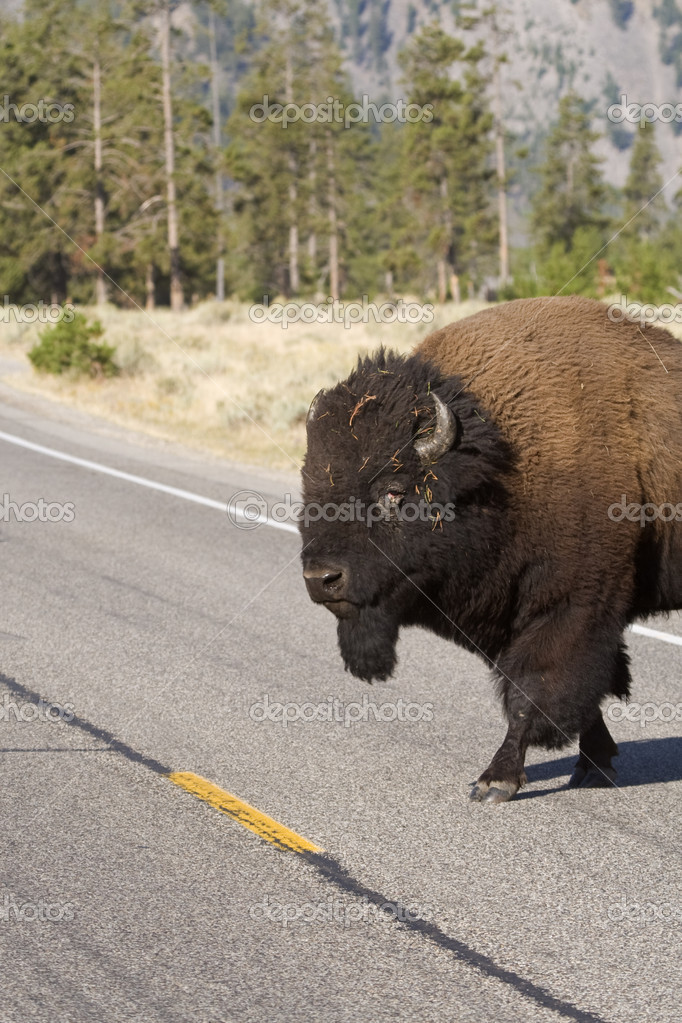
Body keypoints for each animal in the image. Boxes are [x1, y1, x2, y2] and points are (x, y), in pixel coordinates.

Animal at [299, 295, 682, 803]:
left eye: (394, 491)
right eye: (311, 489)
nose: (322, 579)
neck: (504, 464)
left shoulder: (571, 610)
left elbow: (533, 692)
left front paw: (495, 781)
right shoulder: (505, 615)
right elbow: (578, 695)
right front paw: (595, 765)